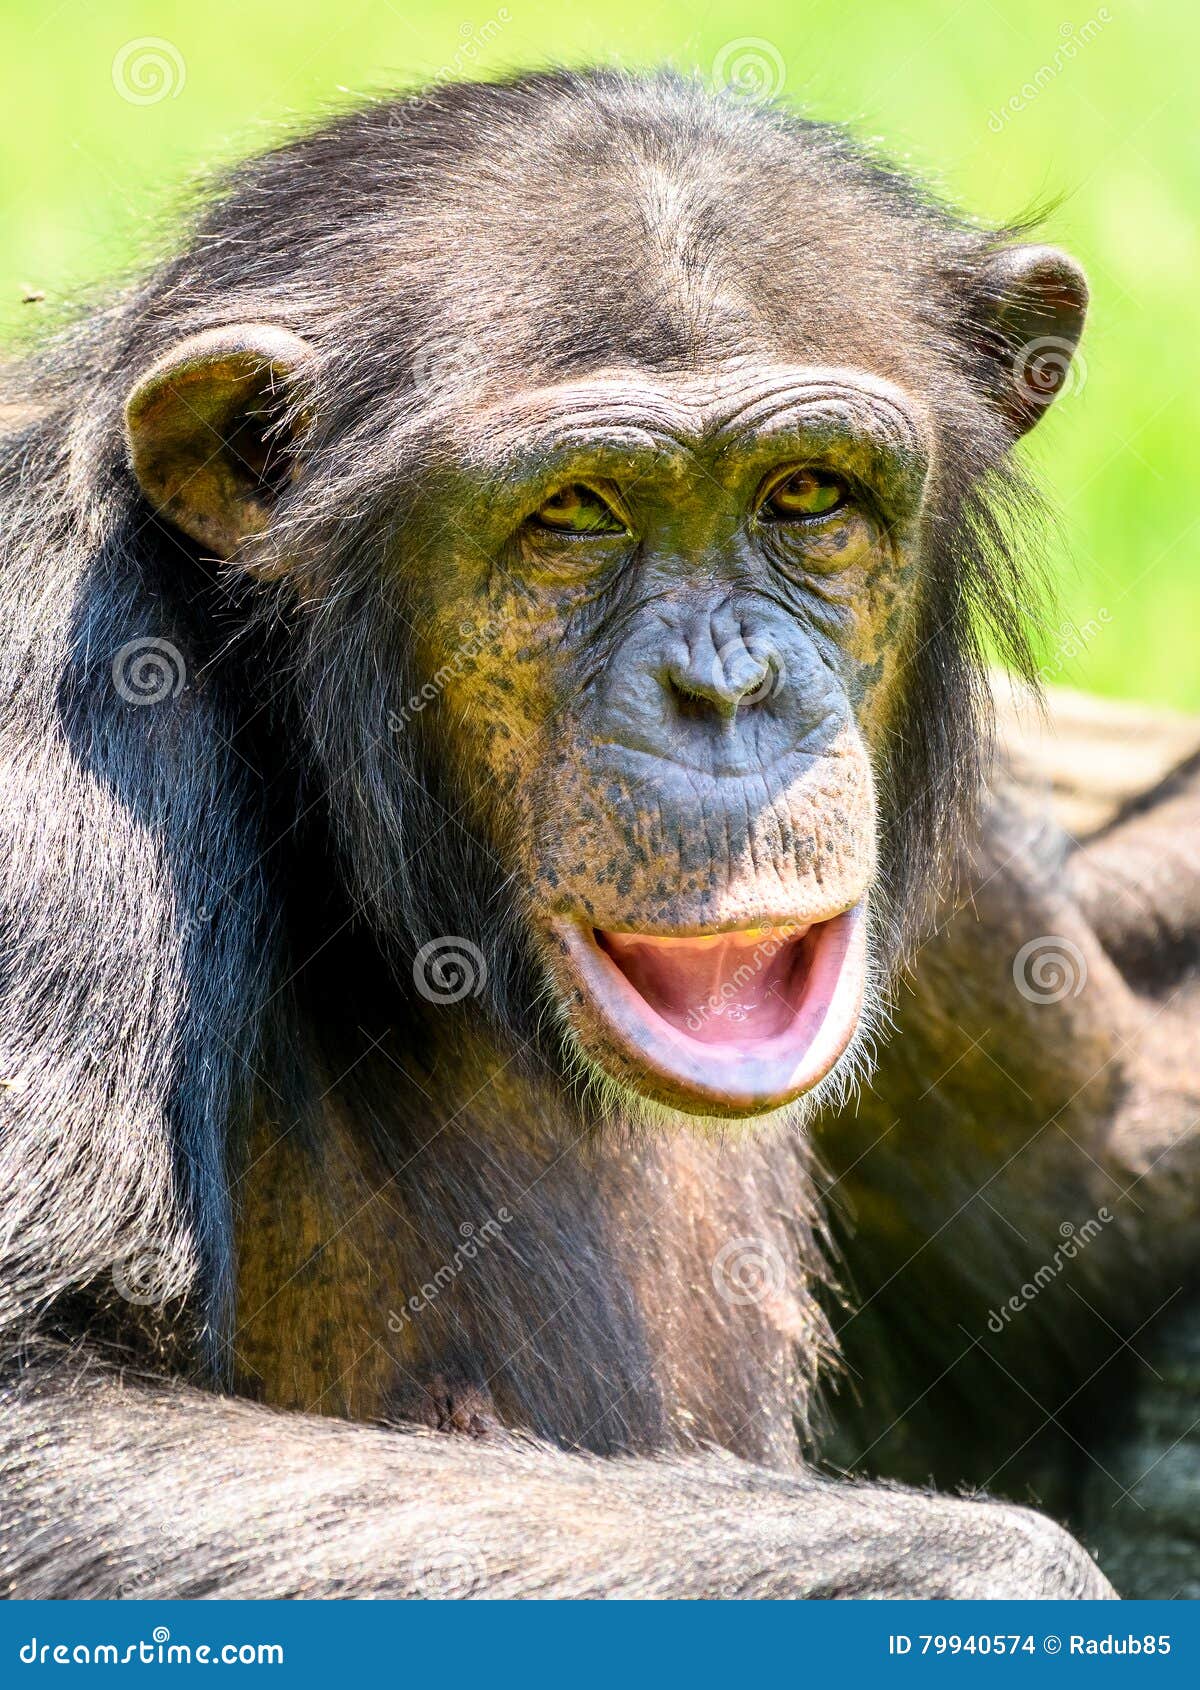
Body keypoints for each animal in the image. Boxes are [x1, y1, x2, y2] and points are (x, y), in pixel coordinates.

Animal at [1, 66, 1195, 1599]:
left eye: (808, 494)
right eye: (574, 513)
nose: (727, 688)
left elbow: (1117, 1179)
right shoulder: (60, 665)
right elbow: (47, 1411)